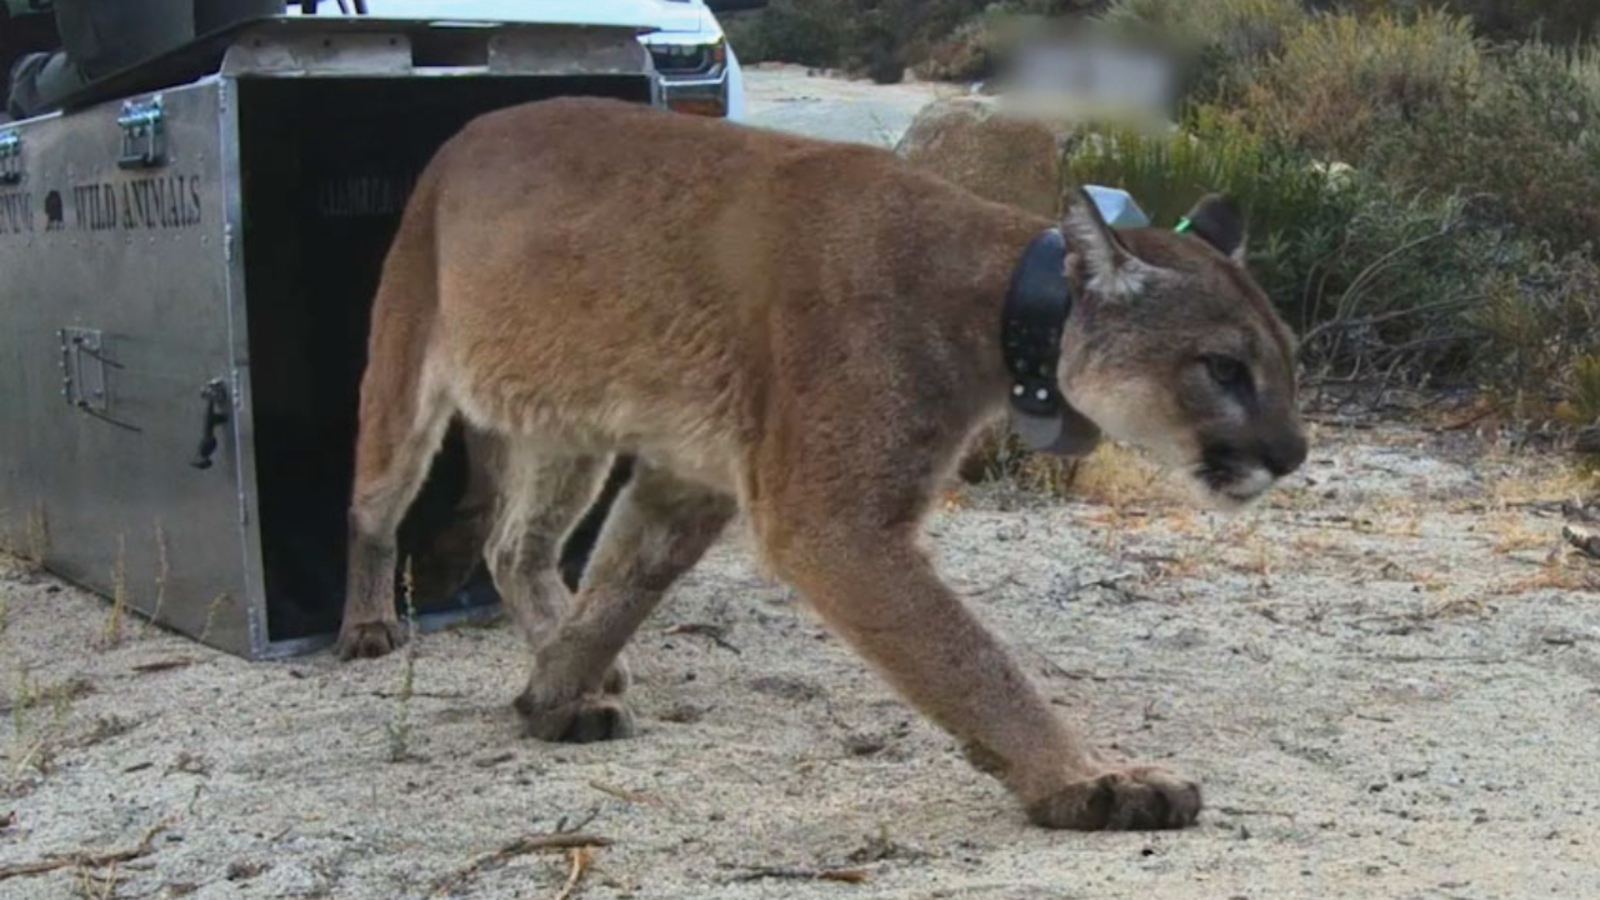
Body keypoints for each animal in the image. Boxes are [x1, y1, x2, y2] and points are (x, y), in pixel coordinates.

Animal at [335, 96, 1307, 831]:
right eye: (1224, 369)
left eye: (1289, 364)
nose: (1293, 453)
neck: (993, 304)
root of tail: (466, 130)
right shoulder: (832, 522)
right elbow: (971, 661)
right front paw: (1088, 780)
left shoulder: (691, 480)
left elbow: (621, 589)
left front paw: (555, 691)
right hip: (407, 371)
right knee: (377, 506)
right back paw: (368, 625)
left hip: (570, 425)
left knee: (518, 548)